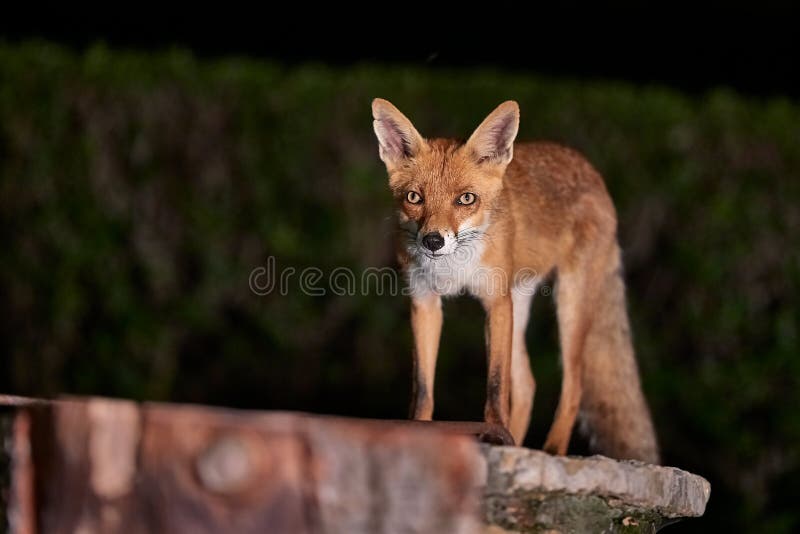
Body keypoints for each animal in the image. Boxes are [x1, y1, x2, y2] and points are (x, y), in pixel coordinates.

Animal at [371, 98, 660, 464]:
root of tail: (592, 172)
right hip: (519, 304)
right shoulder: (424, 303)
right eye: (413, 198)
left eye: (466, 199)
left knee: (573, 385)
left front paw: (495, 436)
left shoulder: (496, 302)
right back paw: (518, 444)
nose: (433, 241)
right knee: (528, 386)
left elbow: (496, 386)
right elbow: (423, 390)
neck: (454, 269)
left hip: (568, 302)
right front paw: (420, 434)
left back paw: (551, 449)